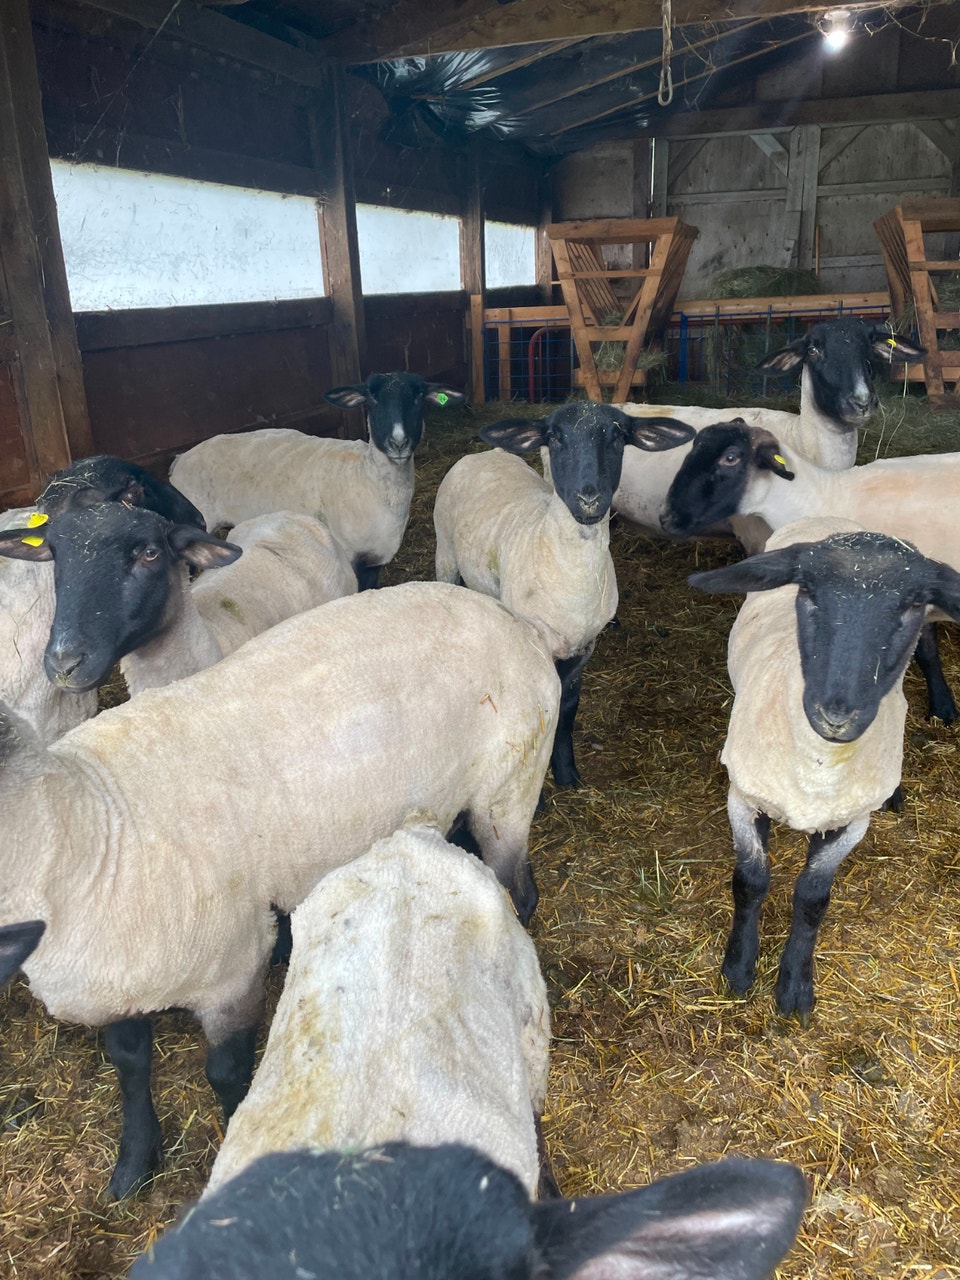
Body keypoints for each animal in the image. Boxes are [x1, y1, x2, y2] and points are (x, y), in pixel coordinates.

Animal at [169, 372, 465, 589]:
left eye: (418, 397)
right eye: (371, 399)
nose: (399, 442)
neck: (368, 477)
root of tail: (179, 460)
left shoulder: (376, 558)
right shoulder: (349, 555)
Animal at [433, 403, 695, 787]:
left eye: (617, 436)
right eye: (555, 437)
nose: (589, 498)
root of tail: (488, 452)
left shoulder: (585, 644)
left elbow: (568, 706)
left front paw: (567, 771)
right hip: (445, 553)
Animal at [688, 516, 960, 1021]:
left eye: (913, 604)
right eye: (808, 592)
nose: (837, 713)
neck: (818, 768)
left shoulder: (850, 822)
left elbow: (813, 899)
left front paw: (795, 986)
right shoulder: (744, 797)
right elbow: (750, 882)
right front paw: (738, 968)